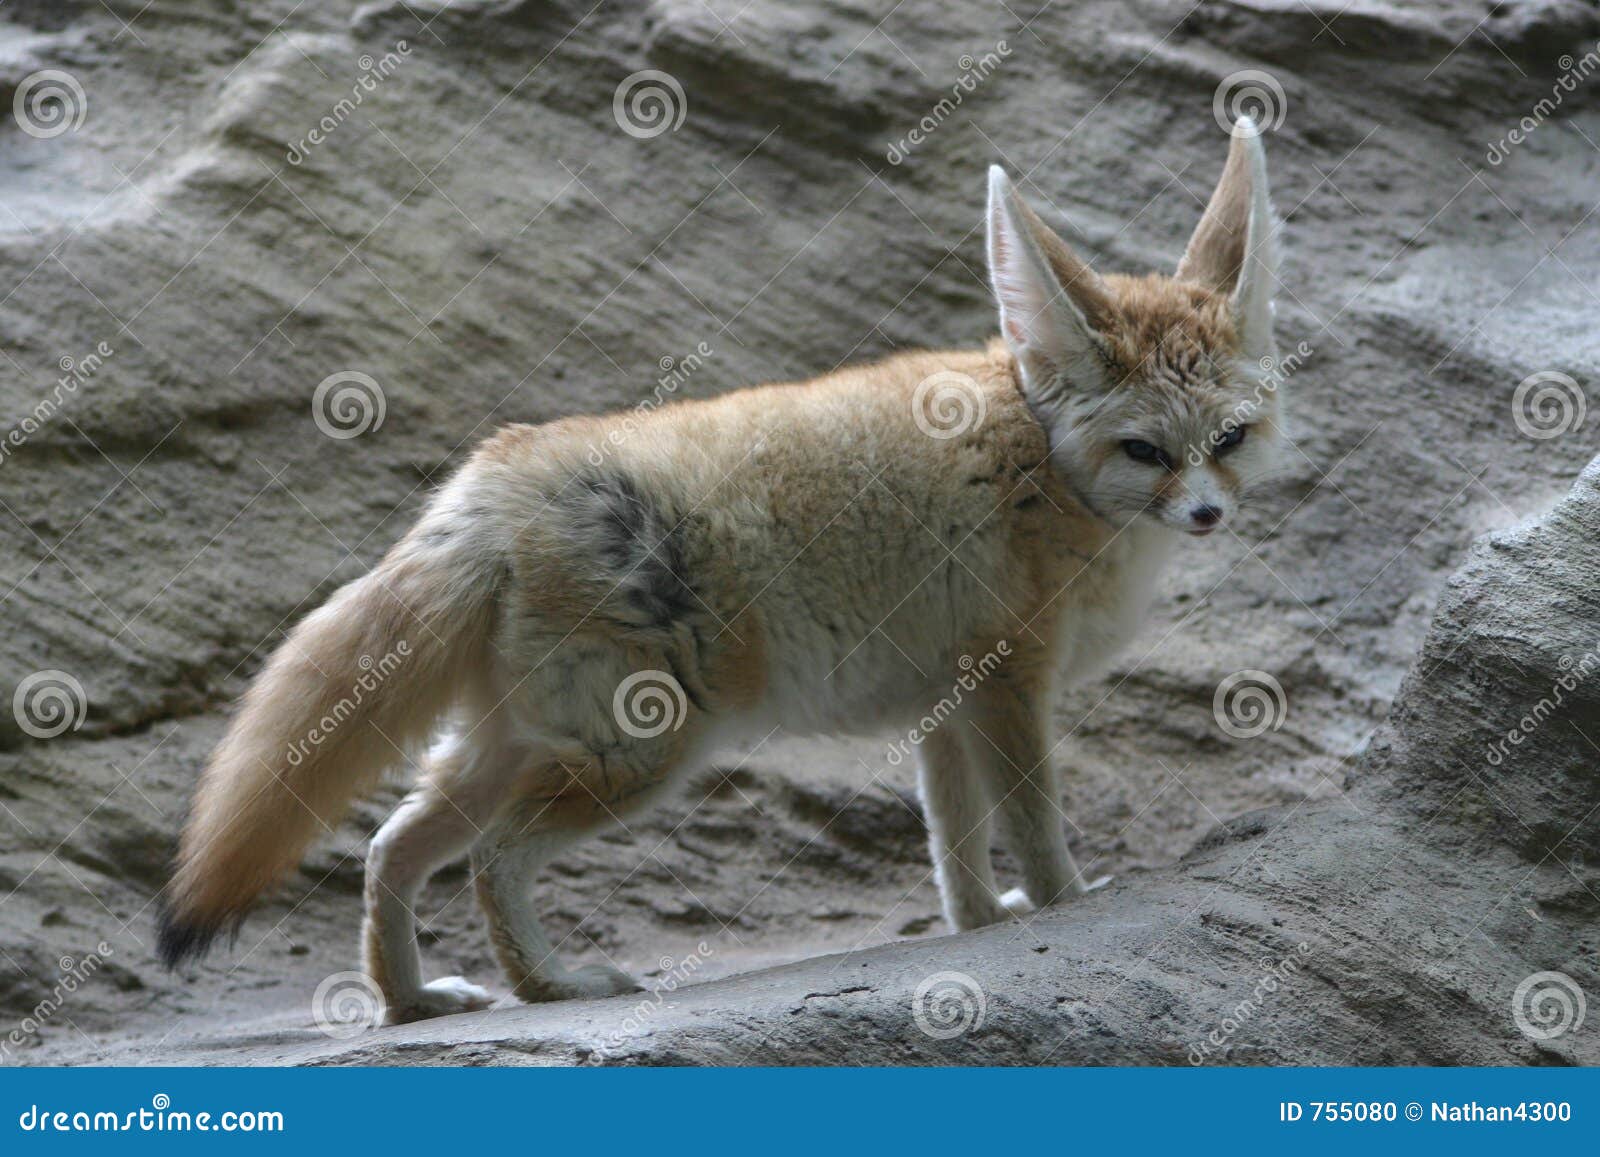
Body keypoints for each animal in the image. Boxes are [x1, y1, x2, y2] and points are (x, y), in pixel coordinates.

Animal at [158, 118, 1284, 1024]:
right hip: (640, 752)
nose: (1208, 513)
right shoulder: (1009, 685)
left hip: (510, 750)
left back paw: (412, 1001)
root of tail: (492, 484)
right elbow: (1033, 825)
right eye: (1145, 450)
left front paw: (978, 925)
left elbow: (955, 846)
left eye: (1229, 438)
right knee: (489, 859)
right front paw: (1066, 903)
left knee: (388, 849)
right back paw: (553, 986)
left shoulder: (948, 703)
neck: (1041, 456)